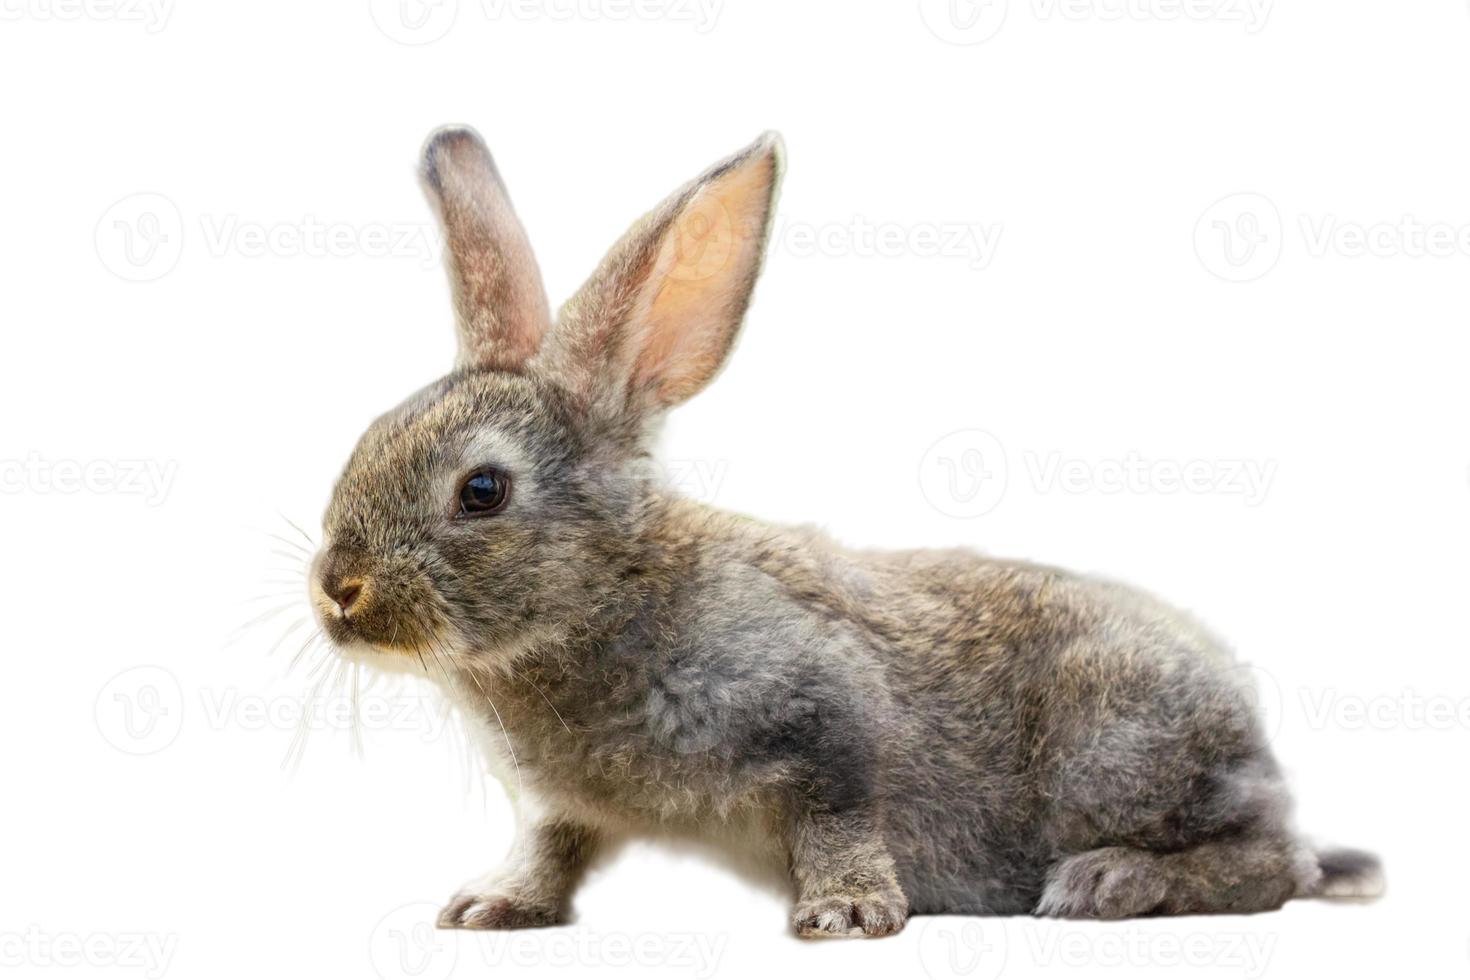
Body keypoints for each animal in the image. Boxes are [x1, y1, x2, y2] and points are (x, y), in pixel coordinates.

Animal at [308, 124, 1383, 939]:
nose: (336, 590)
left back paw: (1109, 882)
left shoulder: (827, 711)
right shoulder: (562, 809)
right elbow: (552, 849)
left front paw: (848, 916)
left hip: (1118, 758)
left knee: (1274, 863)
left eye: (482, 491)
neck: (612, 591)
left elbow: (840, 811)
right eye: (365, 439)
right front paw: (488, 906)